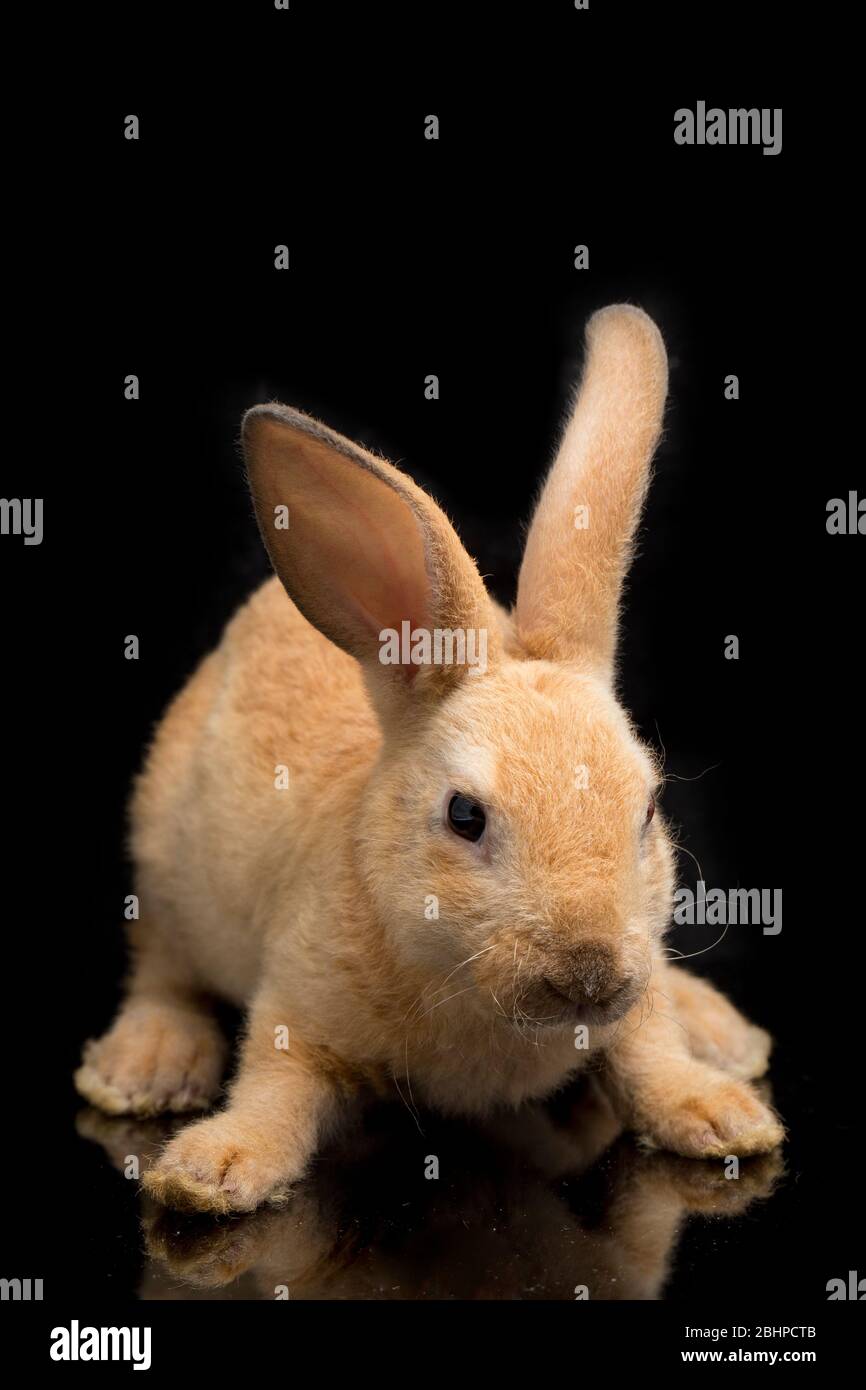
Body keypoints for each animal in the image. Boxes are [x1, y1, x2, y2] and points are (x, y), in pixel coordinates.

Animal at [74, 304, 783, 1214]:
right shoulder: (295, 1005)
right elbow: (275, 1089)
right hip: (165, 864)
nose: (590, 970)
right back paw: (147, 1066)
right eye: (465, 816)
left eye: (649, 811)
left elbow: (650, 1053)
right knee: (161, 971)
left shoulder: (638, 1004)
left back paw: (724, 1035)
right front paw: (214, 1170)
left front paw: (726, 1117)